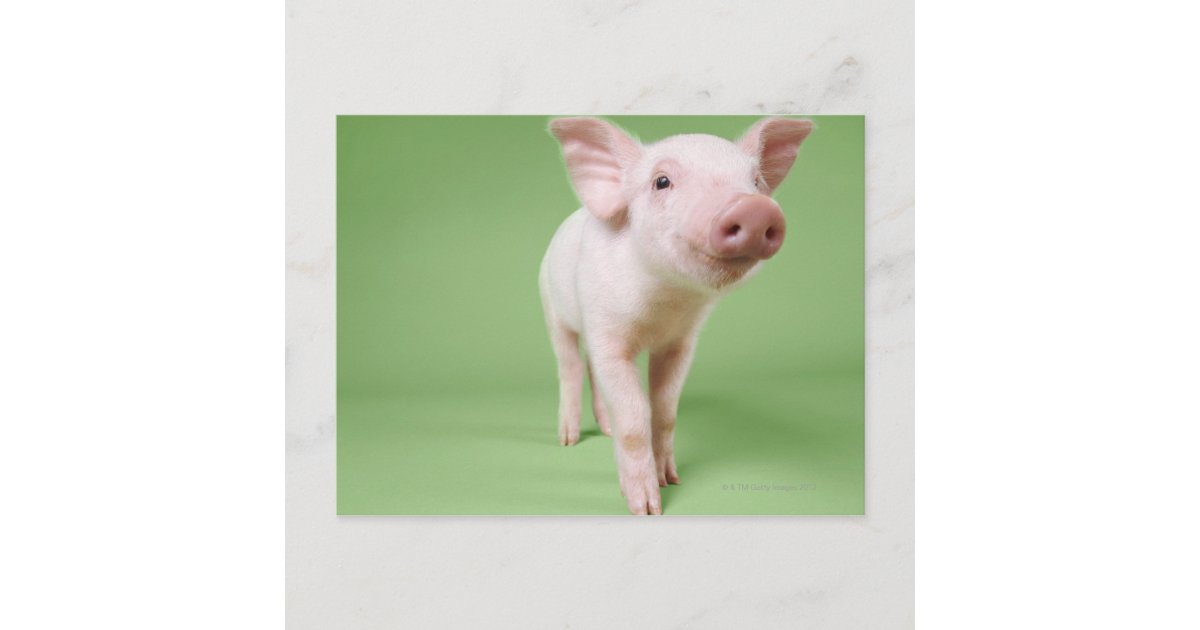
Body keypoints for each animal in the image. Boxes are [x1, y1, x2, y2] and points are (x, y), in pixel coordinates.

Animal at [538, 117, 813, 515]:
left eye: (756, 180)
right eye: (662, 181)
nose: (754, 208)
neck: (664, 305)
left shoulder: (681, 342)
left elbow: (665, 411)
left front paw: (671, 480)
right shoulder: (607, 333)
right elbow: (635, 416)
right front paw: (646, 508)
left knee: (590, 372)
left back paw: (605, 431)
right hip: (551, 307)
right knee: (570, 366)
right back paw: (569, 440)